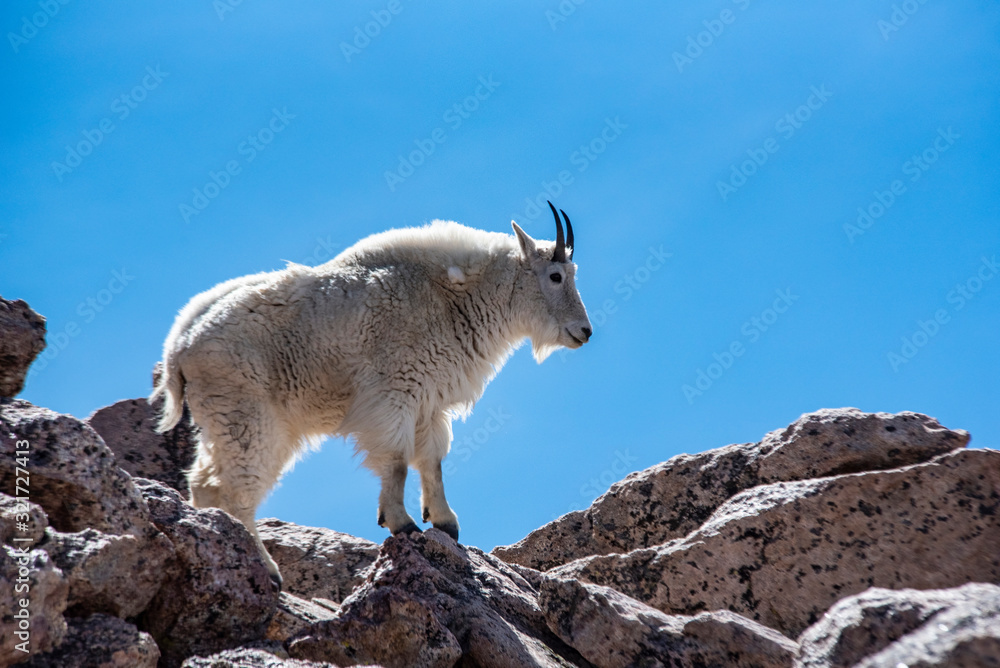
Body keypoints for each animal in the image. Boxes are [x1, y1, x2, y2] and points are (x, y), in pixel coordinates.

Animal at [151, 203, 592, 587]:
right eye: (556, 275)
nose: (585, 332)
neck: (455, 298)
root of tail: (179, 347)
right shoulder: (394, 394)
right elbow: (396, 462)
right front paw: (402, 523)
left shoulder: (429, 402)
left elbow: (432, 461)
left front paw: (445, 523)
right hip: (249, 418)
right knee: (236, 490)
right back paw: (266, 569)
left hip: (229, 420)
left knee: (205, 483)